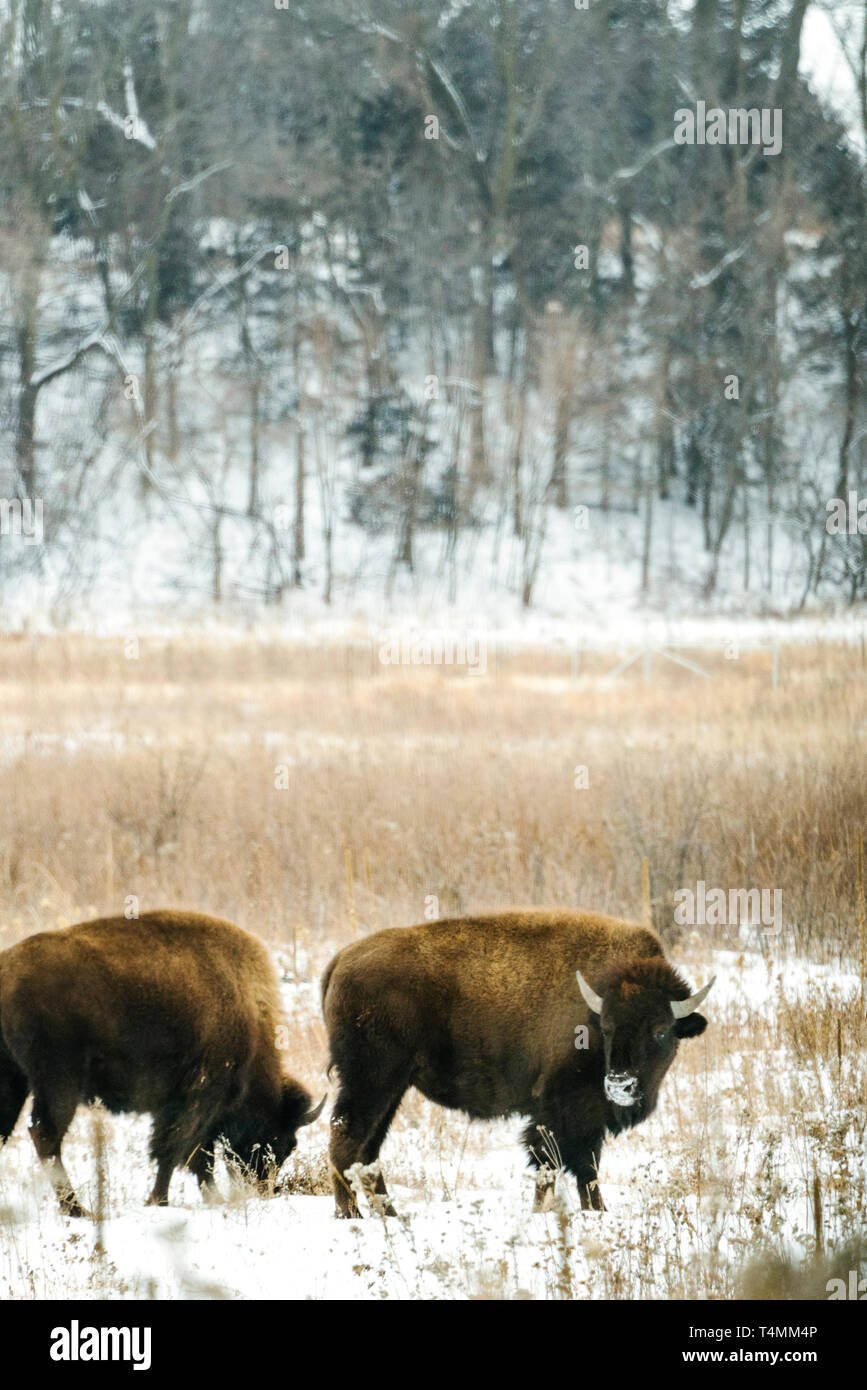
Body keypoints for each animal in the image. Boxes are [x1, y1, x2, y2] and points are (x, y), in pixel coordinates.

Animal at [0, 910, 323, 1216]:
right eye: (284, 1142)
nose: (261, 1189)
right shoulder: (197, 1099)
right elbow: (180, 1151)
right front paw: (163, 1200)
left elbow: (189, 1153)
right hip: (59, 1081)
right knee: (46, 1134)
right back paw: (78, 1210)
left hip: (16, 1080)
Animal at [322, 909, 713, 1217]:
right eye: (607, 1027)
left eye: (661, 1031)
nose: (619, 1083)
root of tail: (342, 959)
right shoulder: (562, 1109)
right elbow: (561, 1163)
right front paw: (563, 1212)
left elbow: (581, 1167)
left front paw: (593, 1211)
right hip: (372, 1080)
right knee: (346, 1138)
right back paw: (351, 1215)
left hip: (393, 1088)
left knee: (367, 1149)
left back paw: (390, 1214)